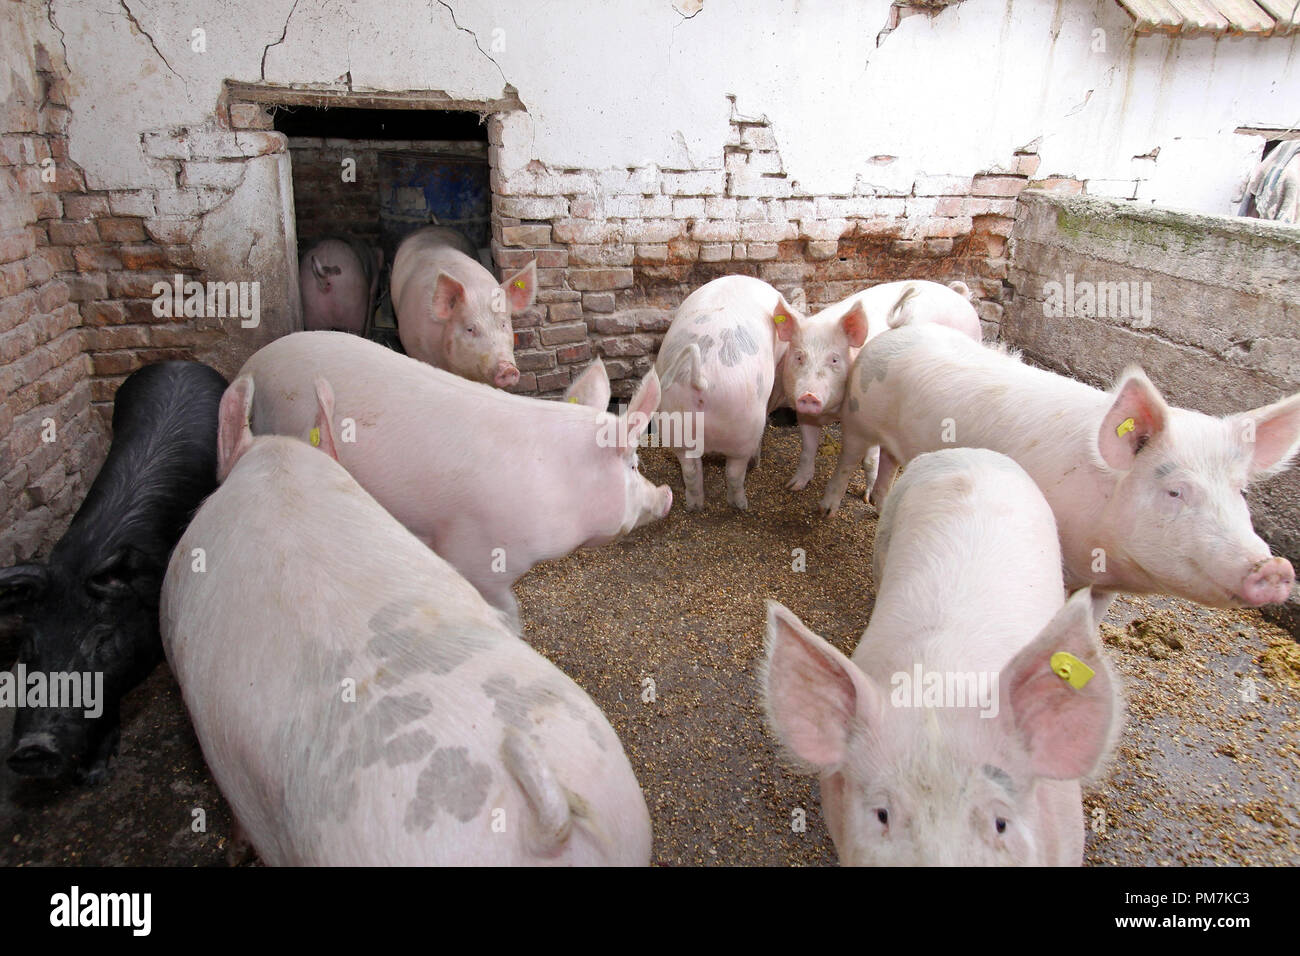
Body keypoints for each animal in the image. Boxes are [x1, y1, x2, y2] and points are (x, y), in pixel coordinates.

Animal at [0, 361, 226, 783]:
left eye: (101, 640)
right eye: (28, 645)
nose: (31, 750)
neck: (88, 555)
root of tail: (178, 361)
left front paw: (94, 775)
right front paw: (91, 775)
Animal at [238, 332, 671, 628]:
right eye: (634, 465)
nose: (665, 494)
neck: (561, 484)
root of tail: (251, 365)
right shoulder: (476, 555)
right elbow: (506, 611)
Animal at [655, 275, 792, 510]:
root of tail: (701, 380)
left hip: (675, 425)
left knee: (690, 470)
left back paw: (694, 506)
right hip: (743, 429)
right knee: (734, 473)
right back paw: (741, 504)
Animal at [776, 280, 981, 492]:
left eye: (834, 359)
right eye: (799, 357)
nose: (809, 395)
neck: (833, 412)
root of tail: (957, 294)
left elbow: (871, 459)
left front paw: (867, 495)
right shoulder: (804, 414)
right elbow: (808, 449)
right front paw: (793, 486)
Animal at [821, 322, 1300, 608]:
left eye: (1241, 491)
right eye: (1175, 490)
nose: (1275, 568)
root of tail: (894, 332)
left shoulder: (1105, 584)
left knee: (890, 461)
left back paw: (877, 505)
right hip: (858, 418)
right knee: (847, 460)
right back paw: (827, 511)